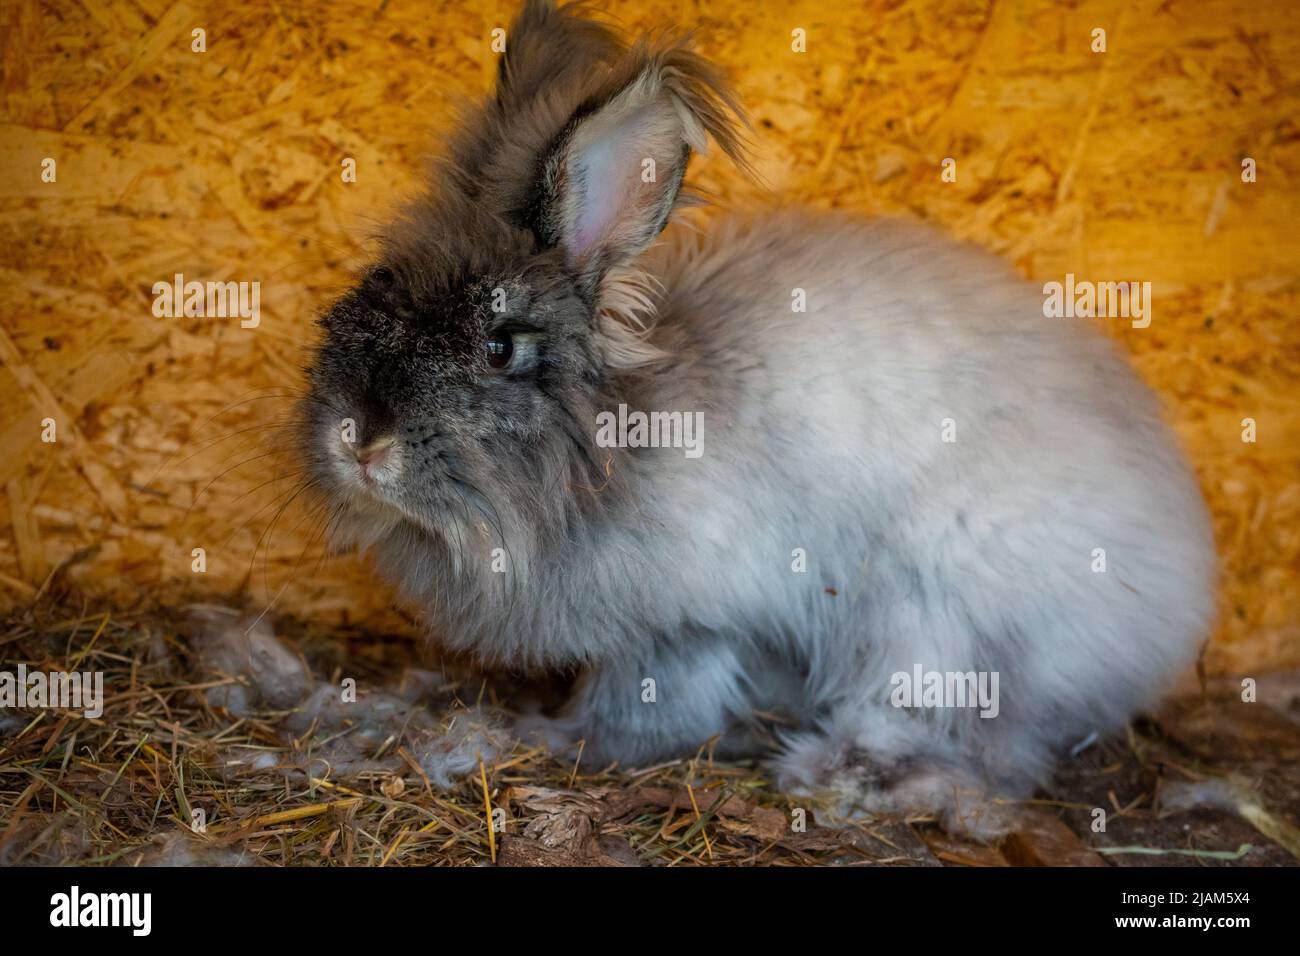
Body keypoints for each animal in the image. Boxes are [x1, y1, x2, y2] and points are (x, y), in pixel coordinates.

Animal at [297, 0, 1216, 835]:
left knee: (967, 738)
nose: (359, 443)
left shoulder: (689, 622)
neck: (612, 441)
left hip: (929, 617)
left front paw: (552, 737)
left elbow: (646, 705)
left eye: (498, 346)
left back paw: (838, 776)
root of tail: (1176, 607)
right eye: (360, 302)